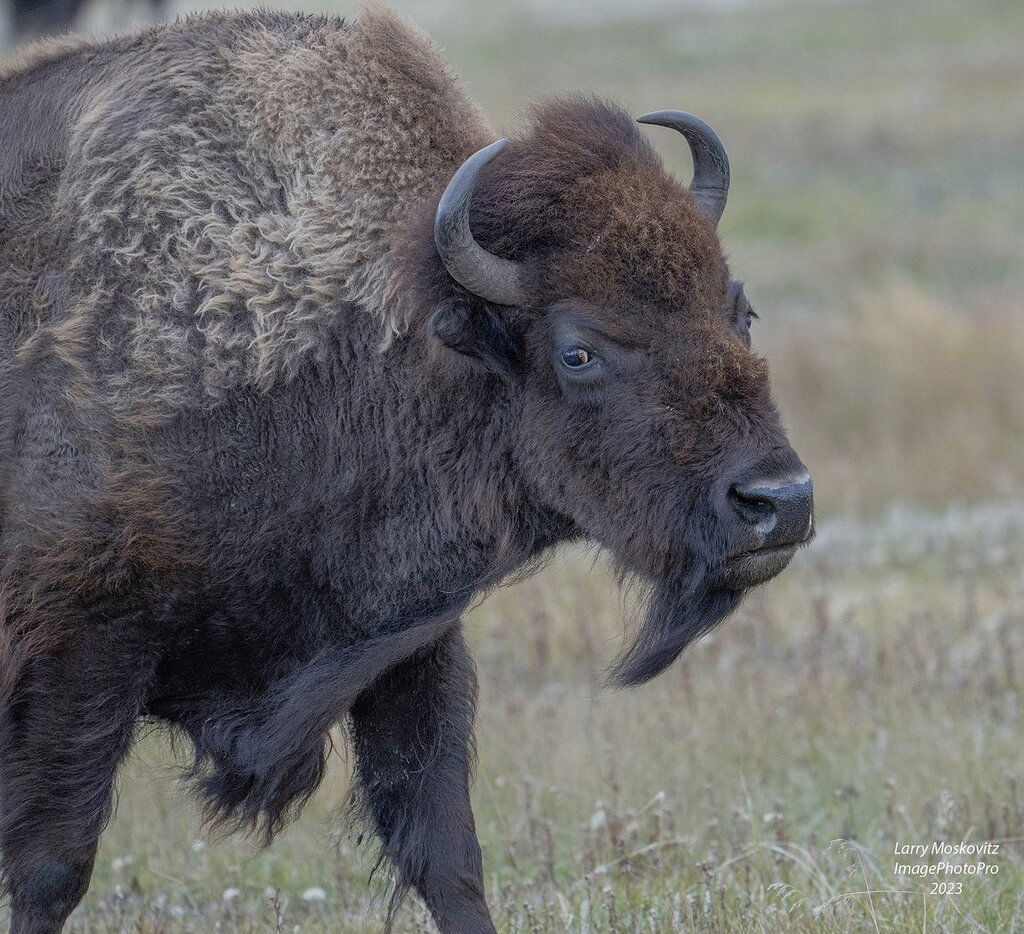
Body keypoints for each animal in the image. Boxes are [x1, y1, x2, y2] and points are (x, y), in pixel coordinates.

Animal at [0, 8, 813, 933]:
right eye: (578, 350)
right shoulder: (80, 649)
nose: (778, 501)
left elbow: (445, 853)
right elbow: (53, 866)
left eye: (739, 311)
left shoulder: (407, 647)